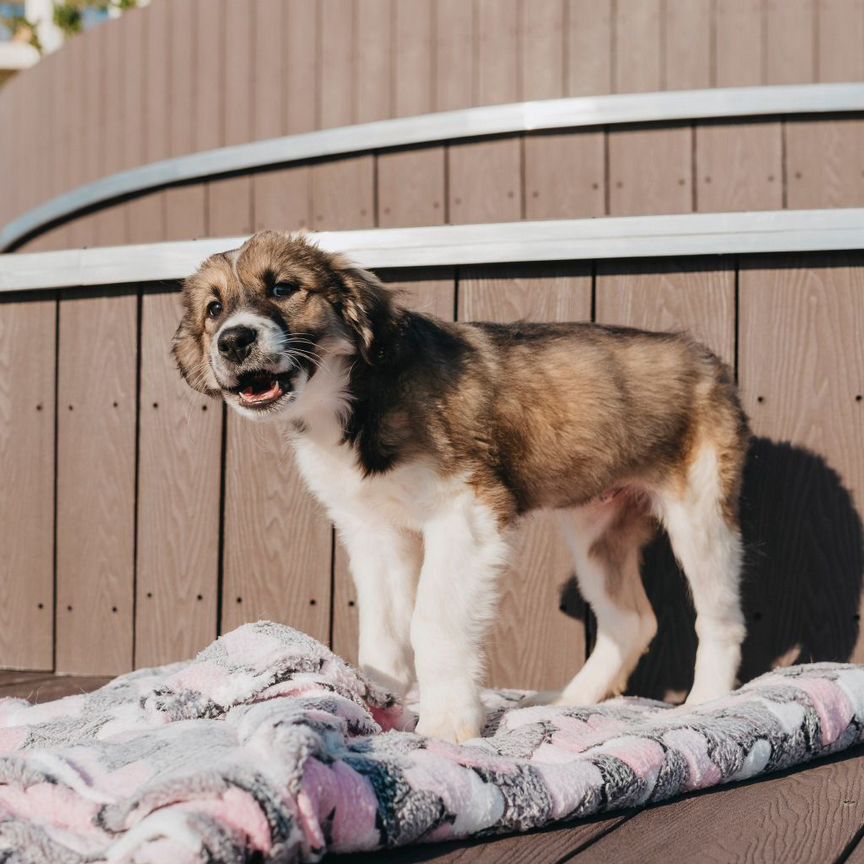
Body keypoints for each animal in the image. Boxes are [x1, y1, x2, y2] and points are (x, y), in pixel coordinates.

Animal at [174, 231, 748, 744]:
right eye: (214, 309)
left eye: (283, 288)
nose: (233, 340)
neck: (355, 400)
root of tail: (708, 359)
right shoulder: (376, 533)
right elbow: (383, 635)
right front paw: (377, 706)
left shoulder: (465, 514)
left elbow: (434, 623)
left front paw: (448, 723)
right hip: (596, 528)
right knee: (631, 622)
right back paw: (571, 700)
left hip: (701, 513)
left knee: (720, 618)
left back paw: (707, 702)